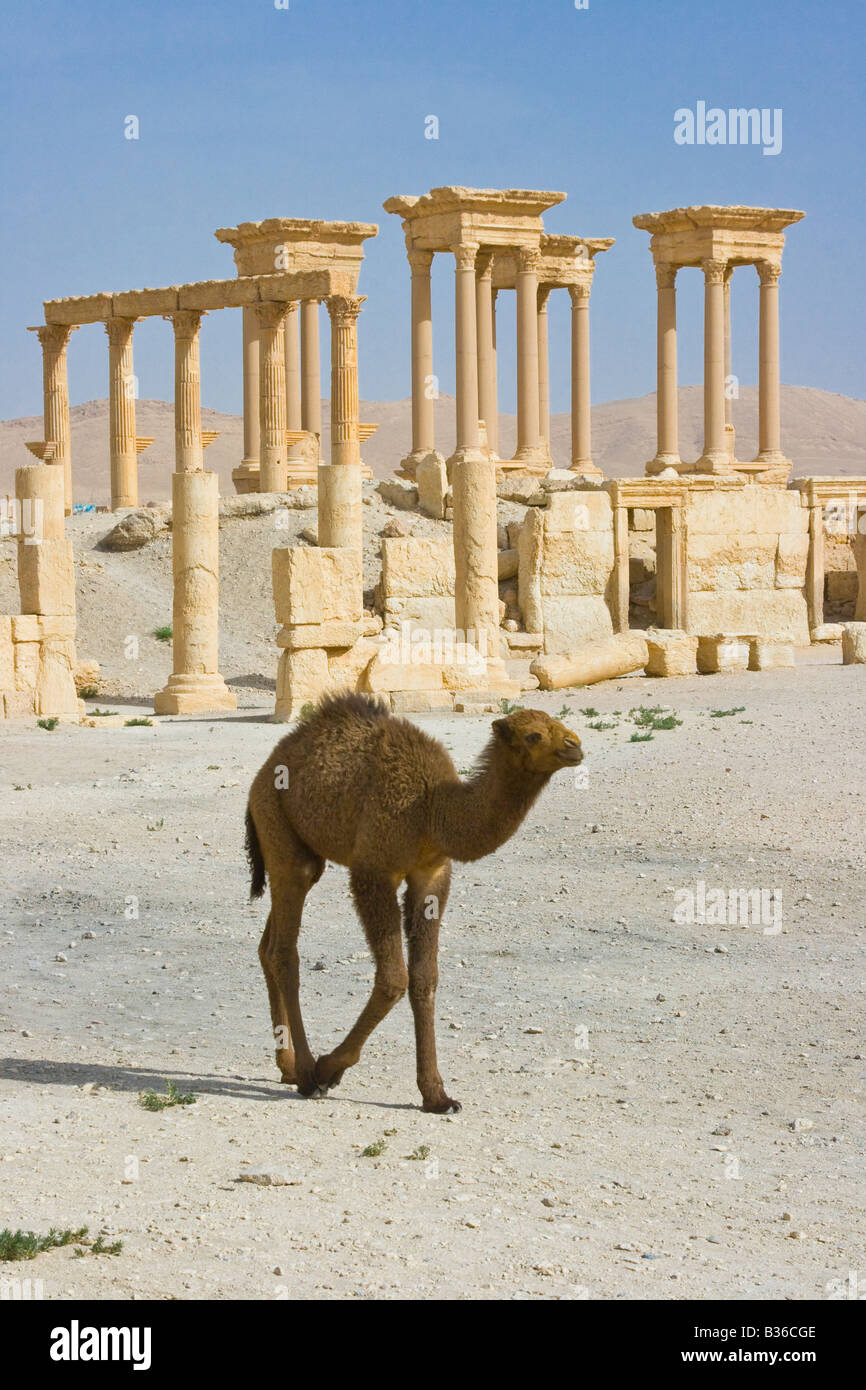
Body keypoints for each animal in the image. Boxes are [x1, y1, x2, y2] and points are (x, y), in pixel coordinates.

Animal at [245, 692, 583, 1113]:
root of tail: (262, 775)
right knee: (284, 952)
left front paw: (437, 1095)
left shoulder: (432, 874)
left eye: (556, 723)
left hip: (301, 851)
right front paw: (329, 1068)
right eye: (533, 735)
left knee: (267, 945)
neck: (433, 810)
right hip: (279, 830)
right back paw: (307, 1074)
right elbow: (394, 978)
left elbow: (425, 978)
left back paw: (289, 1068)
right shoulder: (374, 871)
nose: (575, 745)